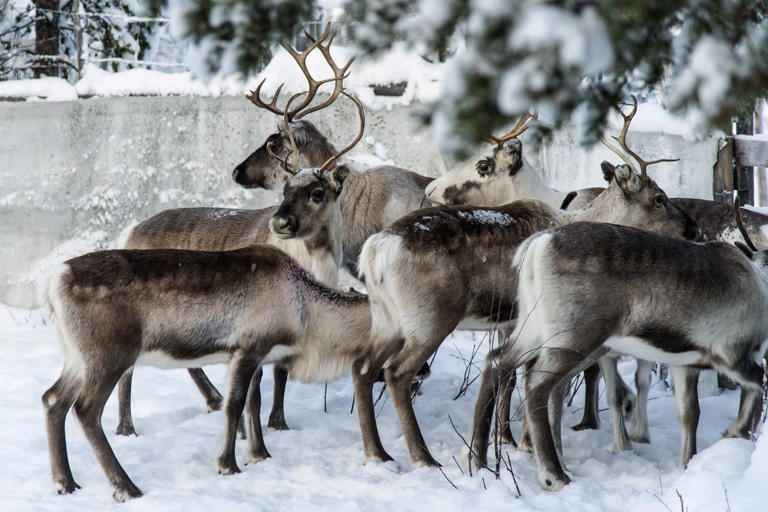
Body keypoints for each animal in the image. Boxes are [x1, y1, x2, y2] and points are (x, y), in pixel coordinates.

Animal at [114, 71, 366, 438]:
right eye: (285, 190)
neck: (315, 263)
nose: (279, 222)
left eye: (318, 192)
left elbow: (281, 371)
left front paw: (279, 423)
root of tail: (129, 233)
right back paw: (126, 427)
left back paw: (214, 400)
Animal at [356, 145, 700, 469]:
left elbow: (511, 377)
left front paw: (510, 439)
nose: (694, 229)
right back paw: (423, 457)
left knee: (363, 366)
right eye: (659, 198)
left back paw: (378, 453)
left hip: (386, 319)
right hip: (429, 320)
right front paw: (526, 442)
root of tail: (375, 250)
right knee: (397, 373)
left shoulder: (512, 321)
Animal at [469, 201, 768, 492]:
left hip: (533, 328)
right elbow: (758, 382)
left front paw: (688, 463)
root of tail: (538, 244)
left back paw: (477, 460)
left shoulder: (685, 364)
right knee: (537, 384)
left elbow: (690, 414)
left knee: (497, 362)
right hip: (574, 336)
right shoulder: (733, 354)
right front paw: (736, 431)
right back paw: (553, 475)